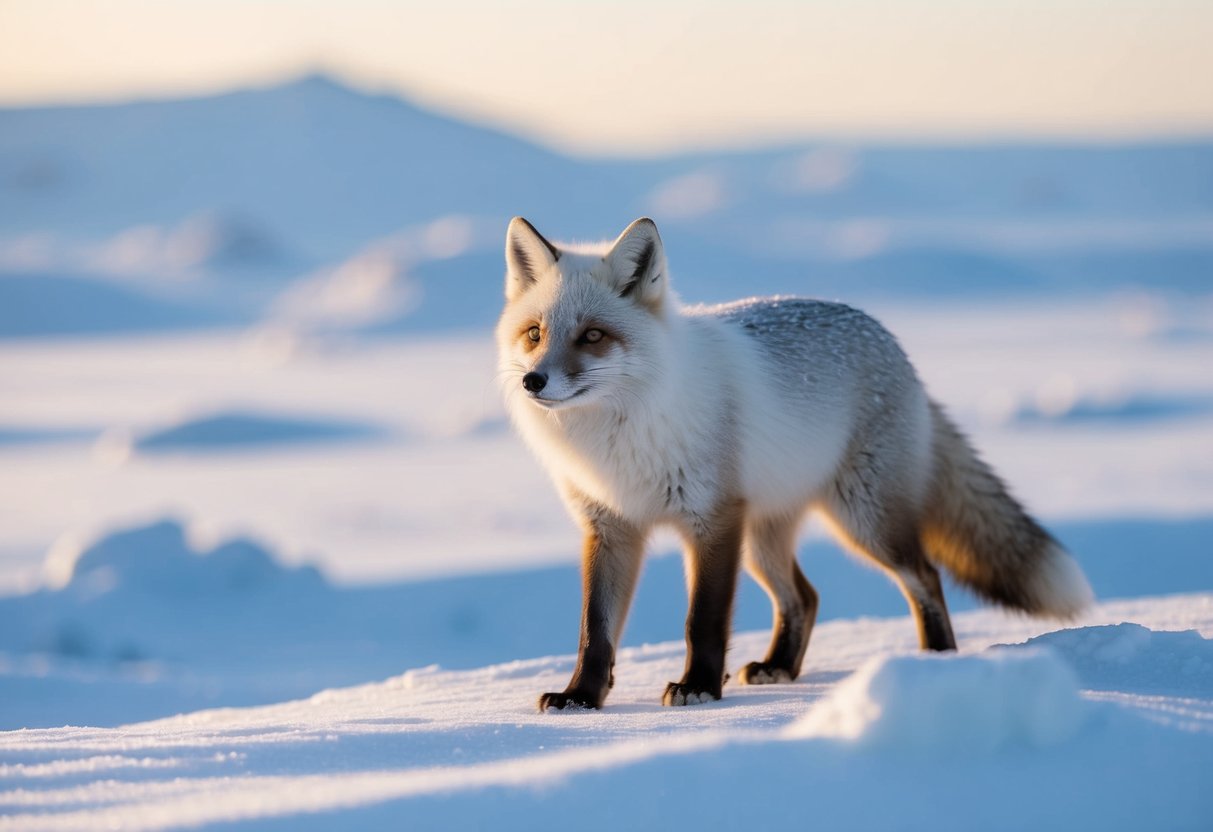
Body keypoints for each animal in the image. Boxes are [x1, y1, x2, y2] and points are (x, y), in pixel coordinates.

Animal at [496, 216, 1094, 711]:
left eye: (593, 336)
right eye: (536, 334)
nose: (534, 381)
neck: (621, 435)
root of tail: (889, 340)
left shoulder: (713, 520)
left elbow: (702, 620)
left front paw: (698, 688)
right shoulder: (611, 528)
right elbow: (594, 631)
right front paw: (581, 698)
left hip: (864, 522)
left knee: (924, 575)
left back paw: (936, 663)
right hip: (764, 540)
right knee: (805, 596)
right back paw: (780, 667)